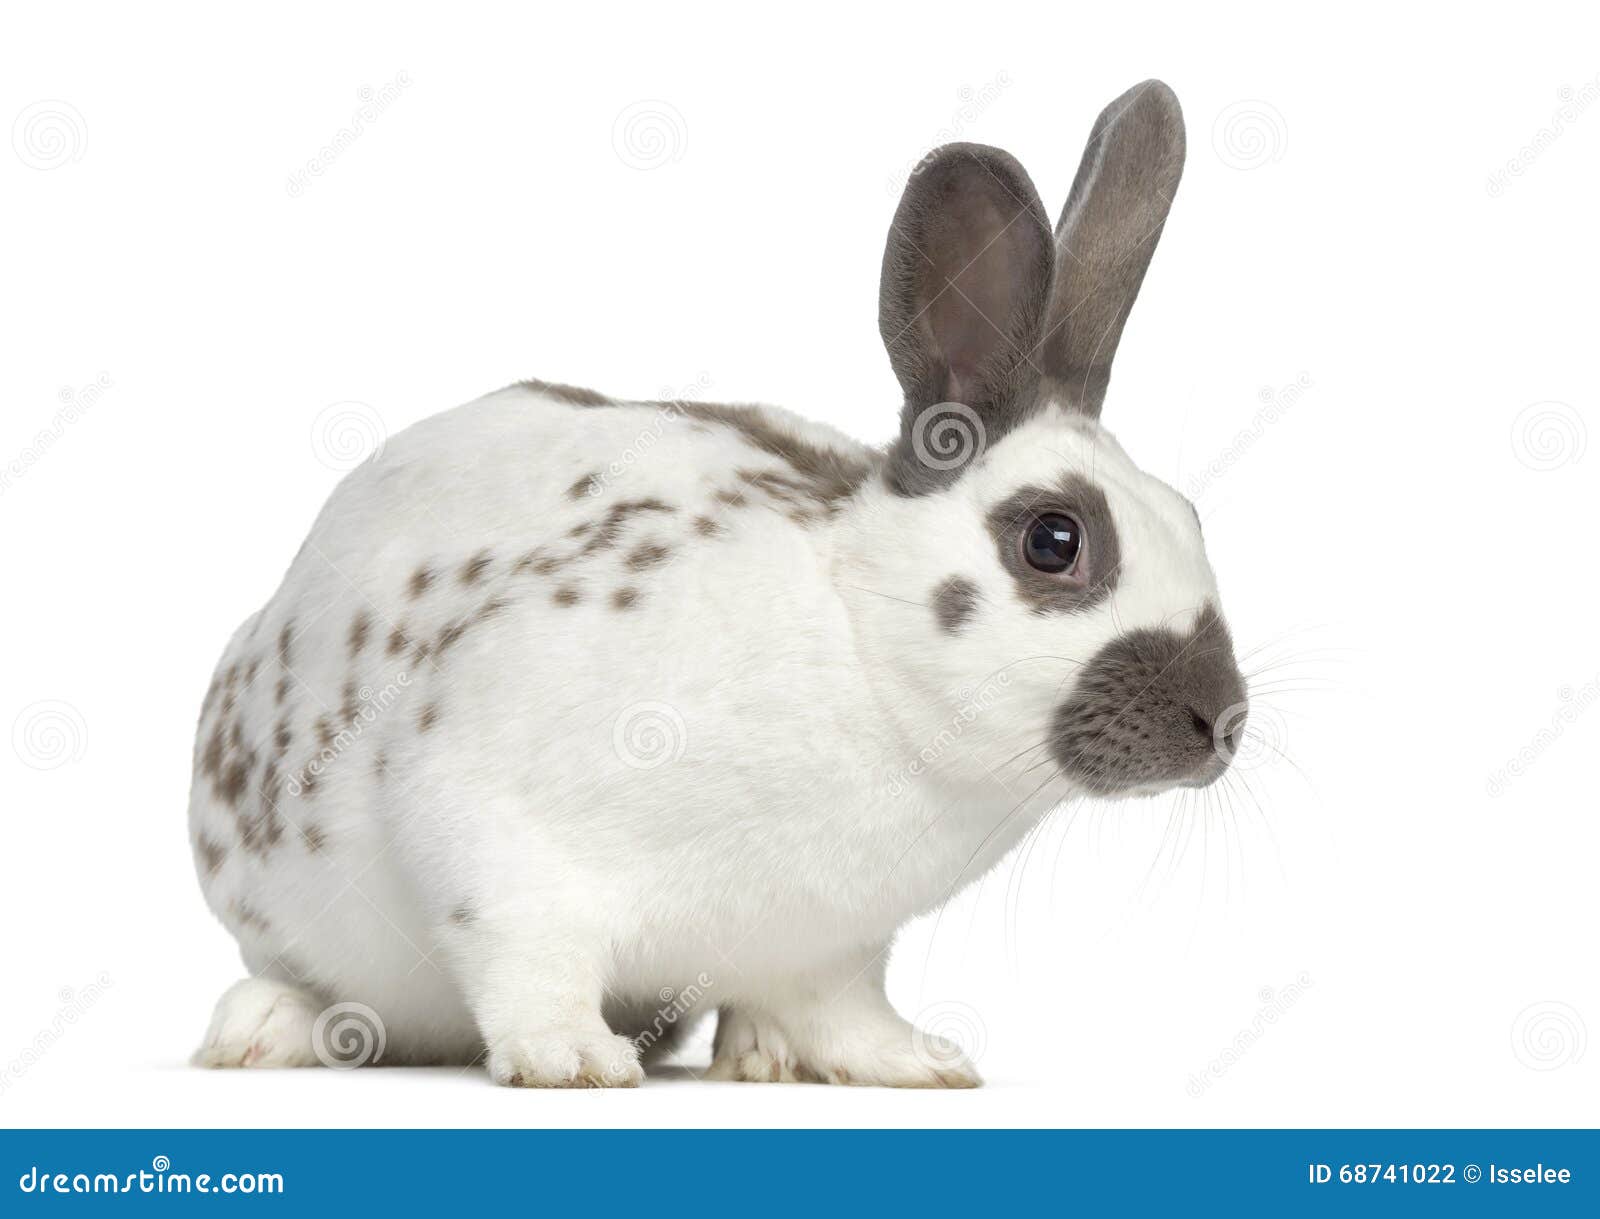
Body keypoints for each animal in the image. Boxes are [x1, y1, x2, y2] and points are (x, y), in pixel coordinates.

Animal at [188, 79, 1248, 1088]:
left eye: (1194, 518)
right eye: (1054, 538)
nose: (1222, 720)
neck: (862, 649)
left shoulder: (827, 946)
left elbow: (842, 1009)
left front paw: (915, 1063)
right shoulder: (485, 819)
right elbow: (527, 959)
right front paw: (573, 1061)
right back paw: (259, 1031)